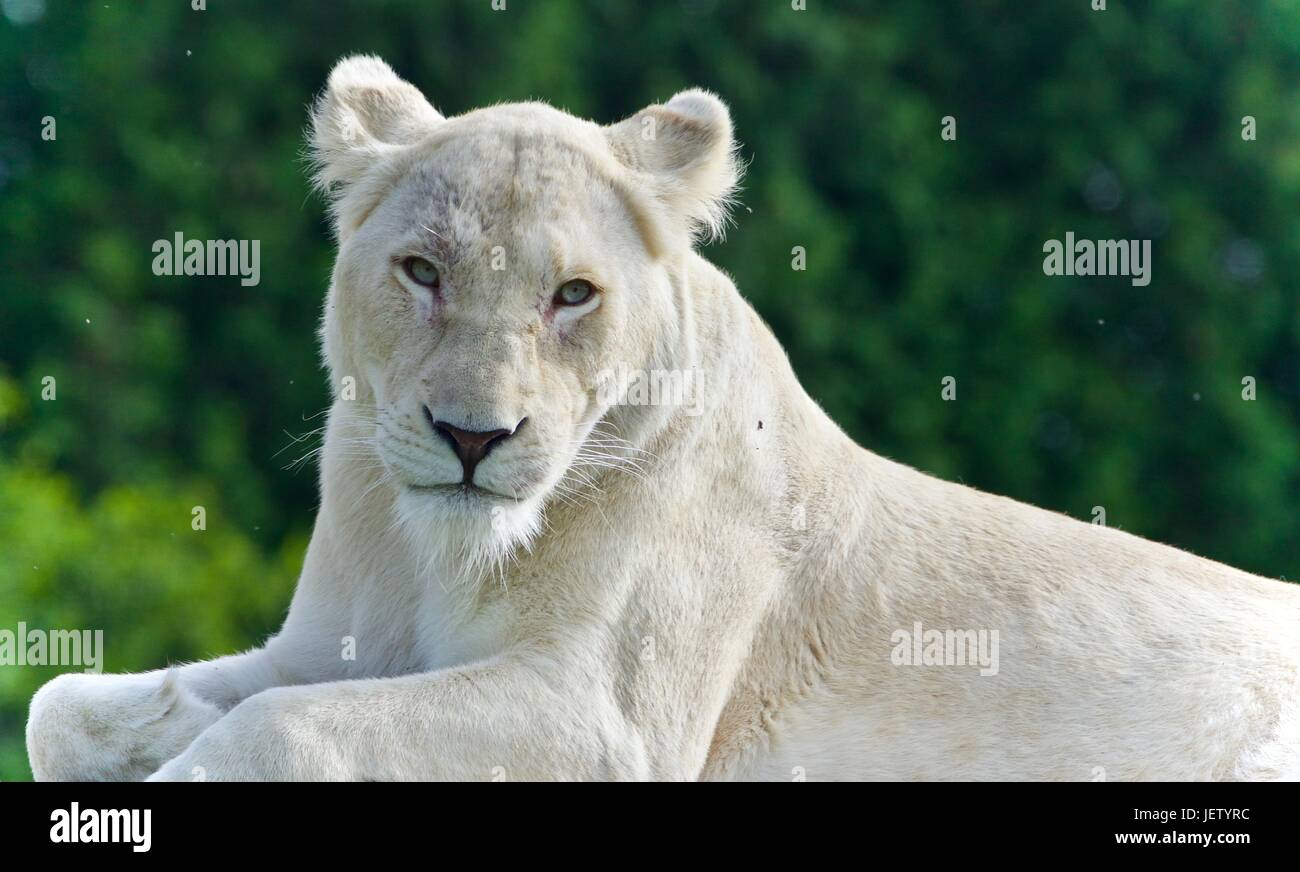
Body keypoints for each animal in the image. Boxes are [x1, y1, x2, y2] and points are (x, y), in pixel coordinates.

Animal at [27, 56, 1300, 781]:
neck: (440, 553)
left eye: (571, 294)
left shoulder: (603, 716)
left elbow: (285, 730)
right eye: (423, 270)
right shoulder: (326, 646)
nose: (473, 438)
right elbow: (61, 707)